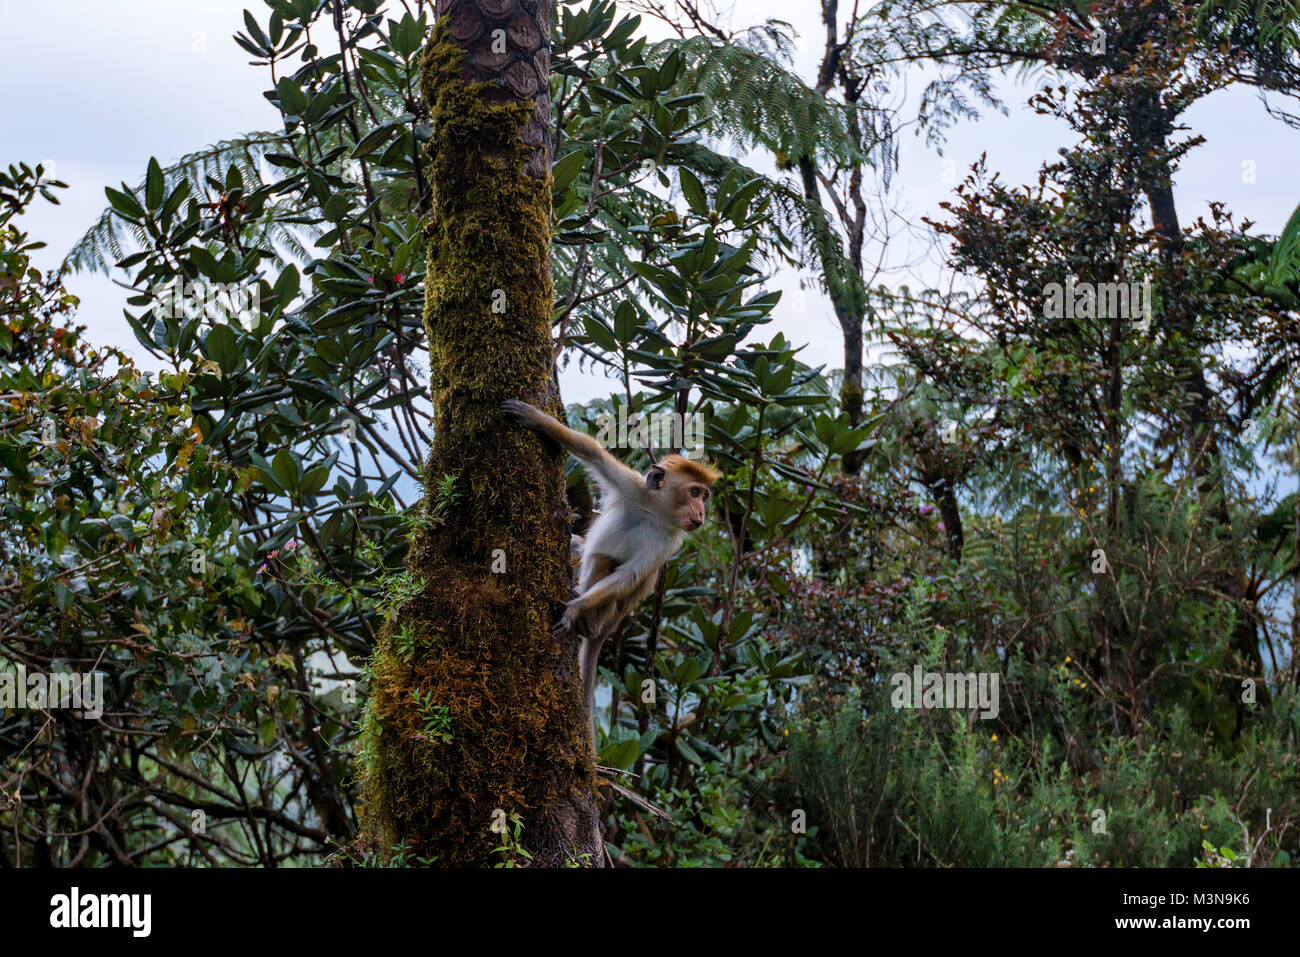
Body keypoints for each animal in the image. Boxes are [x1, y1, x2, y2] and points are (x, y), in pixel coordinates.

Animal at [501, 399, 720, 739]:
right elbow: (591, 452)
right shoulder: (634, 488)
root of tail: (606, 631)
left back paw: (580, 608)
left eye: (705, 496)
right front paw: (539, 420)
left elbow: (628, 577)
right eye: (695, 493)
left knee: (603, 562)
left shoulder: (670, 543)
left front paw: (574, 609)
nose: (701, 513)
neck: (655, 513)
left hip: (604, 617)